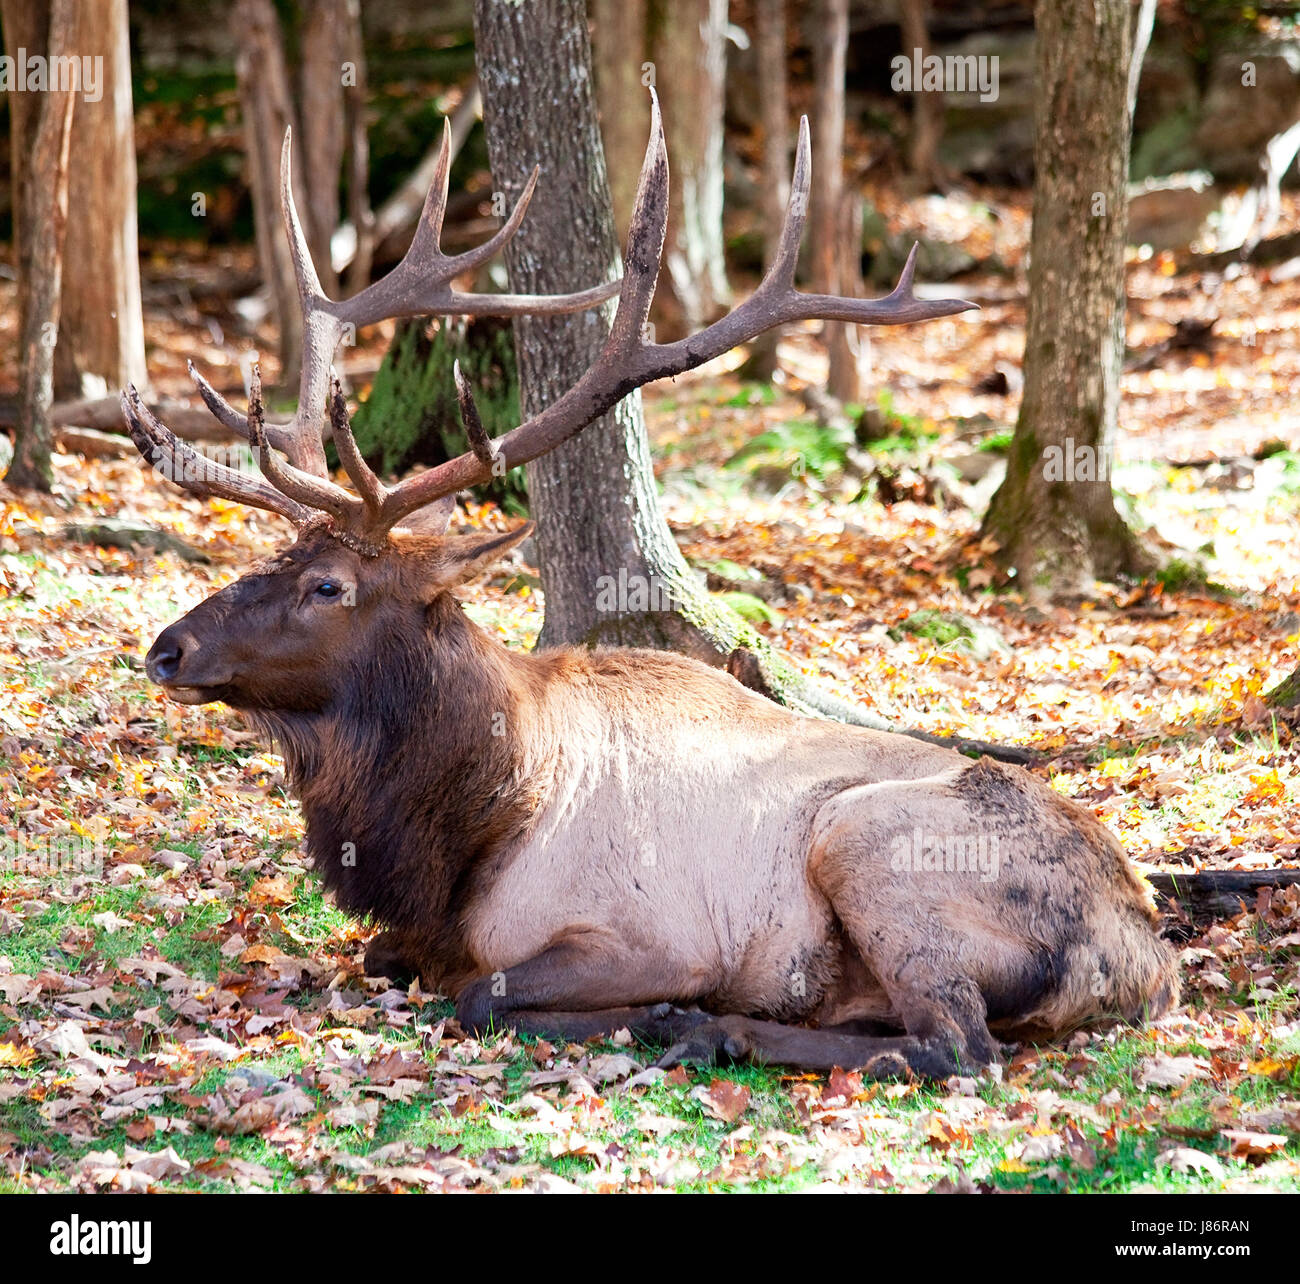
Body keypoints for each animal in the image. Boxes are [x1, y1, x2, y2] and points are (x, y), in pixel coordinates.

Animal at [121, 94, 1178, 1079]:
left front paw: (659, 1013)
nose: (166, 647)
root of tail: (1145, 960)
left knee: (953, 1045)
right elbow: (386, 961)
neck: (469, 826)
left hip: (865, 842)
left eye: (329, 587)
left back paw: (712, 1030)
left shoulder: (649, 935)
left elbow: (478, 996)